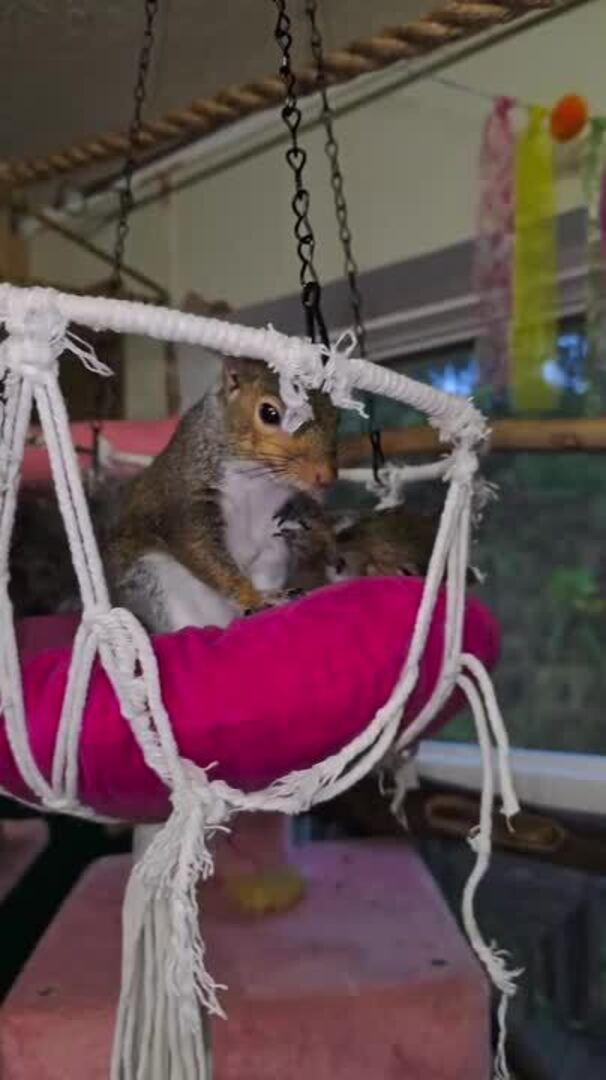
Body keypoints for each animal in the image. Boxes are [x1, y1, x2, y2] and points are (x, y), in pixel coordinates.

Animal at [104, 355, 339, 634]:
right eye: (269, 413)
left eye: (336, 415)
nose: (325, 476)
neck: (258, 478)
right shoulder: (189, 495)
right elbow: (200, 548)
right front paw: (252, 598)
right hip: (158, 582)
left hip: (274, 552)